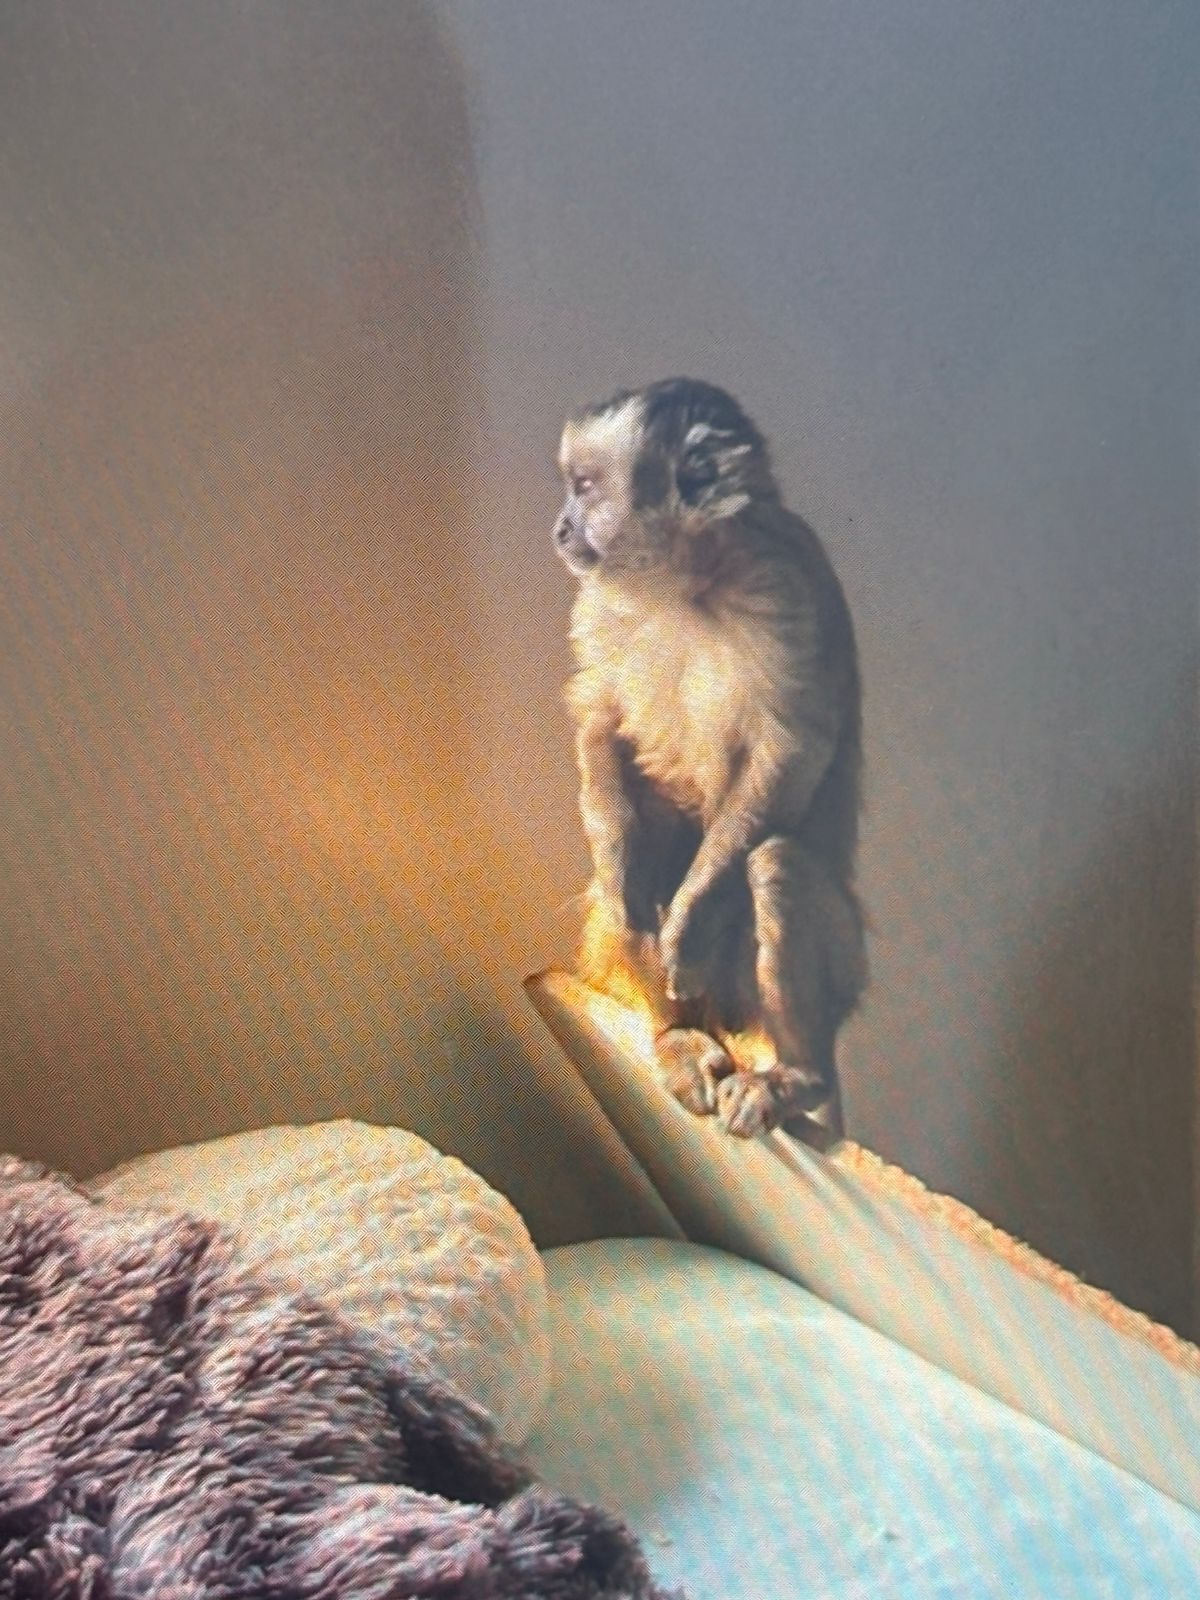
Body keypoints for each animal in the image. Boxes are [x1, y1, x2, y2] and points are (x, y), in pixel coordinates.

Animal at [553, 378, 866, 1143]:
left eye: (584, 488)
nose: (561, 528)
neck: (686, 579)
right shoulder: (596, 599)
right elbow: (598, 715)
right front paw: (616, 850)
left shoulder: (789, 580)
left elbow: (791, 750)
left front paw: (691, 916)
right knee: (630, 879)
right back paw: (679, 1037)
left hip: (839, 969)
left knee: (773, 864)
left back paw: (796, 1075)